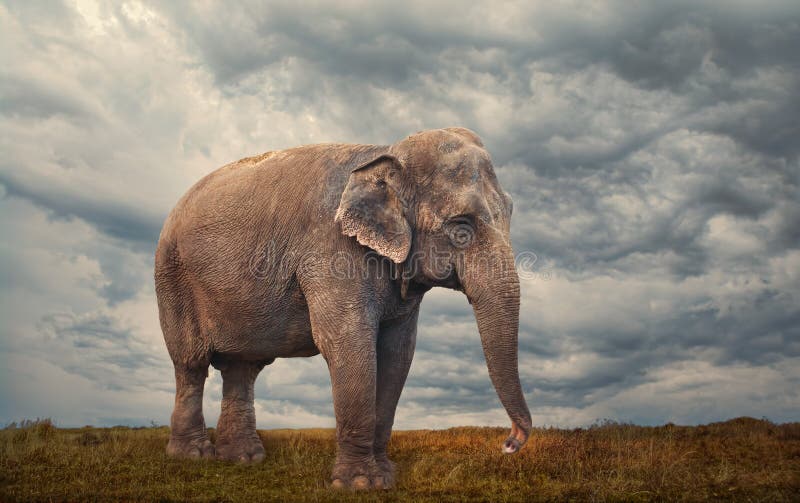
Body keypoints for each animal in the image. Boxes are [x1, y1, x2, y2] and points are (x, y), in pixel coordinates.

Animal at [154, 127, 531, 489]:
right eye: (461, 228)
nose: (509, 442)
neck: (388, 151)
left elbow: (397, 353)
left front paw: (385, 477)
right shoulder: (332, 251)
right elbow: (348, 342)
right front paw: (360, 484)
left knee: (242, 368)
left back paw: (244, 458)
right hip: (173, 277)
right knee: (191, 363)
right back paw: (191, 455)